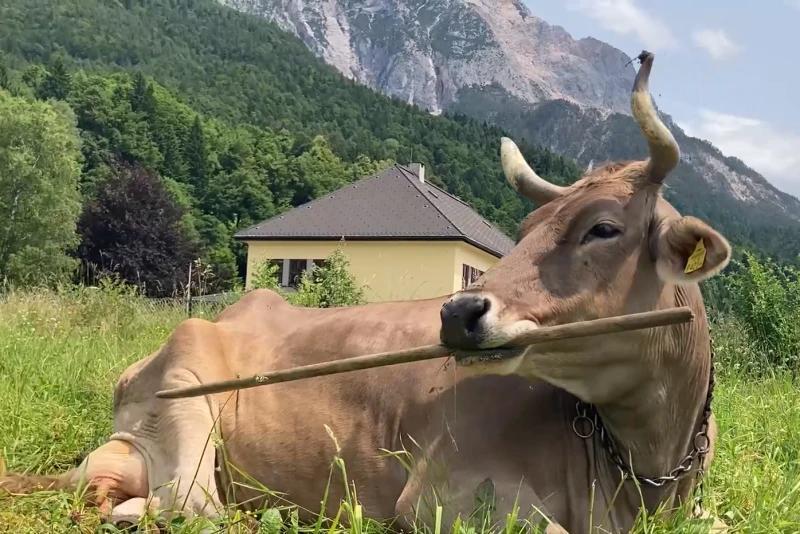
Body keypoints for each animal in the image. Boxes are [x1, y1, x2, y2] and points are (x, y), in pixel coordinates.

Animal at [1, 52, 730, 533]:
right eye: (522, 232)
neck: (647, 464)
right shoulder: (440, 495)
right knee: (191, 506)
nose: (458, 311)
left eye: (604, 228)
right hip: (185, 400)